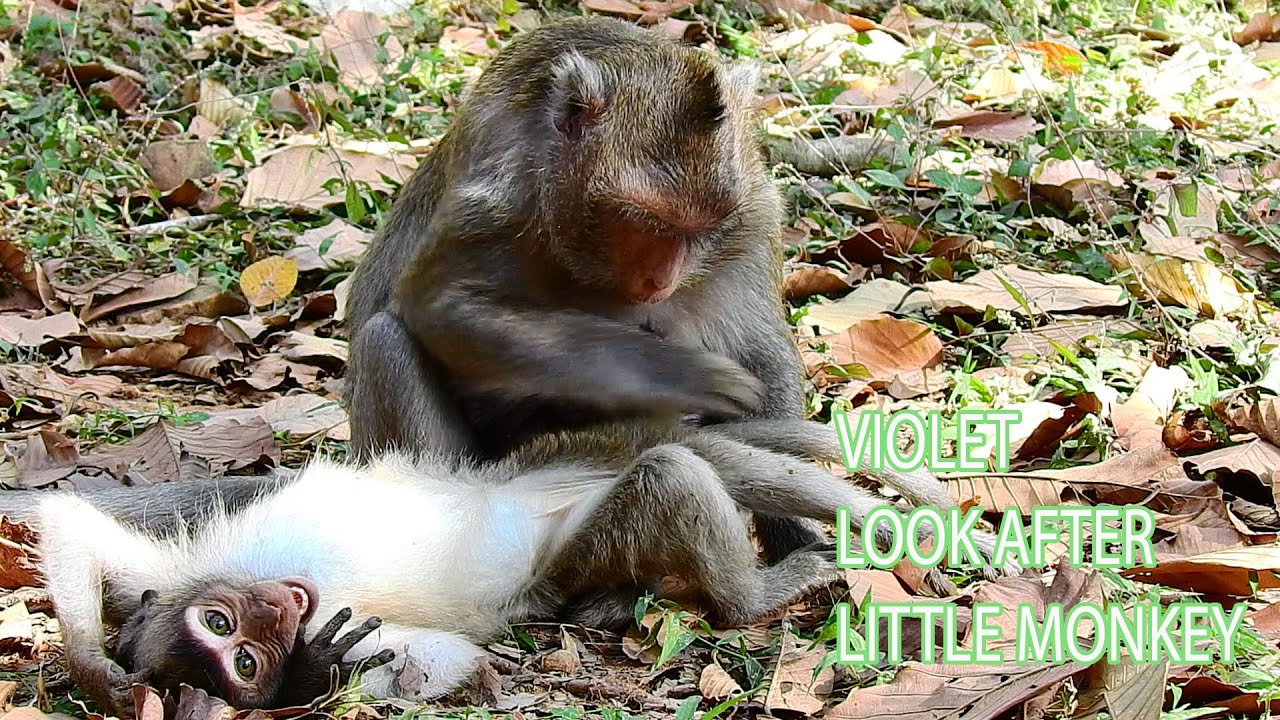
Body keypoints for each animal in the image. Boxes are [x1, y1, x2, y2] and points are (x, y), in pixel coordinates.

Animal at [25, 420, 1012, 716]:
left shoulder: (193, 561)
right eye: (244, 664)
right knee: (687, 471)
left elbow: (74, 523)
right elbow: (449, 668)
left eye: (225, 628)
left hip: (558, 458)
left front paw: (92, 662)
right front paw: (312, 672)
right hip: (586, 534)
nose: (277, 617)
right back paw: (764, 588)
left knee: (736, 450)